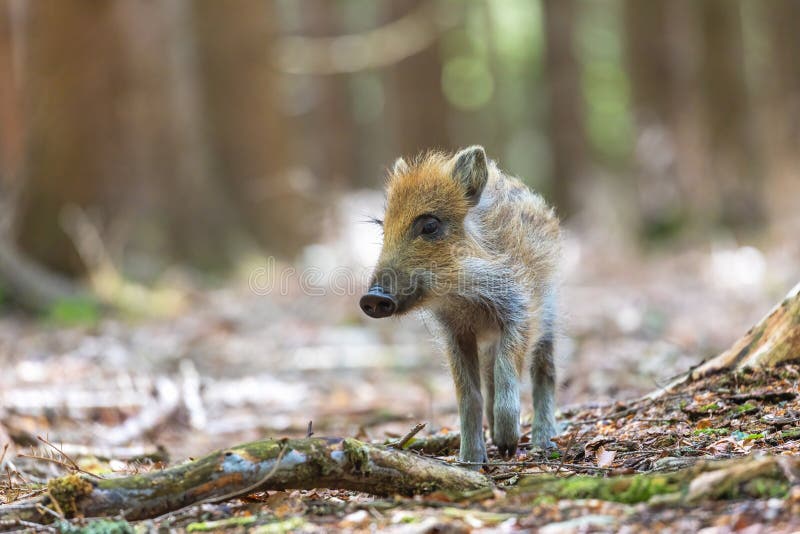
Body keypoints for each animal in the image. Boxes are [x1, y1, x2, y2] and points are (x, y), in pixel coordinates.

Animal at [360, 146, 561, 465]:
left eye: (430, 225)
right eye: (383, 229)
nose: (372, 298)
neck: (463, 296)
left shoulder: (520, 312)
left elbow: (507, 370)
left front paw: (508, 445)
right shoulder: (454, 332)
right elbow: (468, 395)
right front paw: (470, 462)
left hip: (549, 309)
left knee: (543, 368)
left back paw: (541, 443)